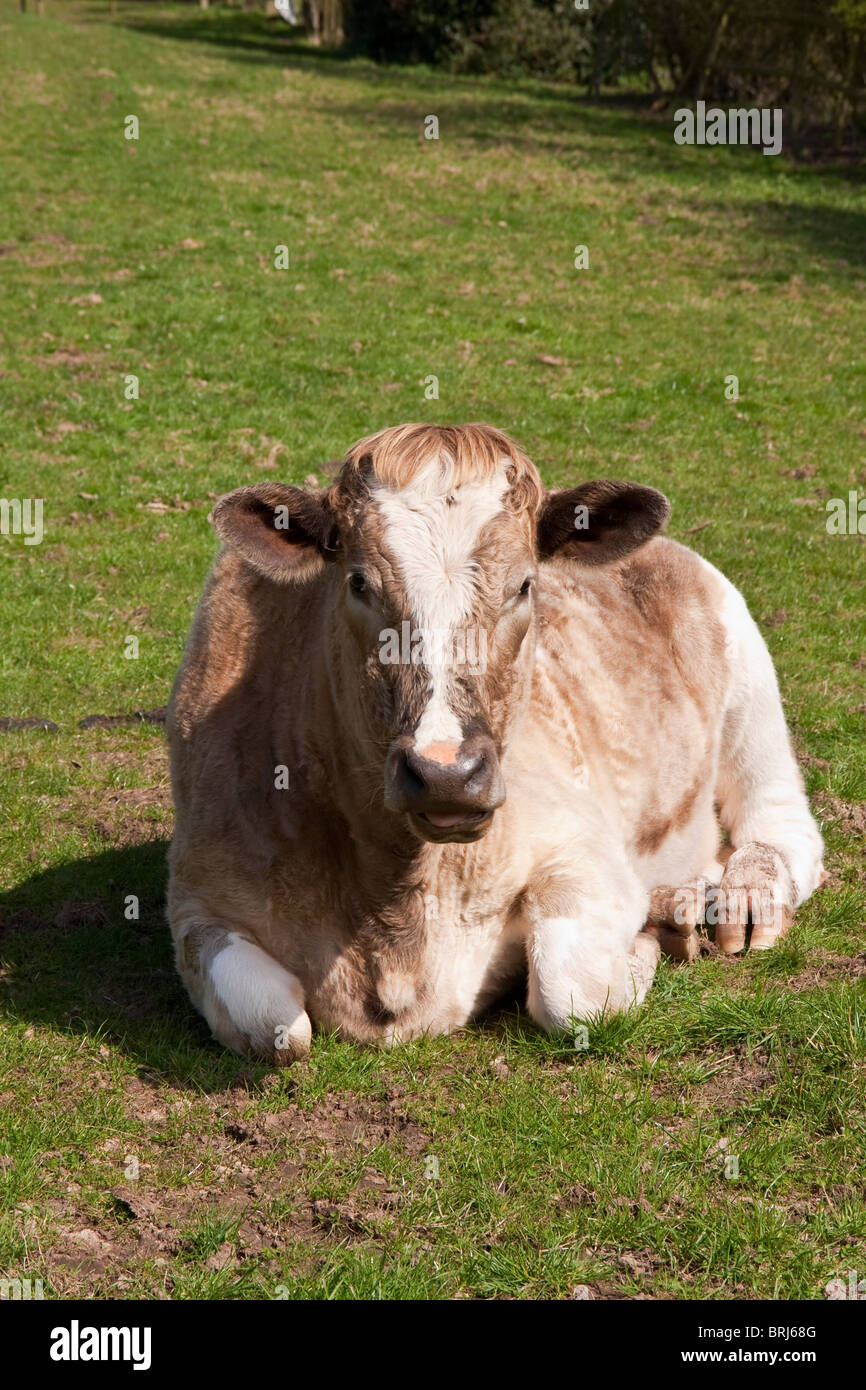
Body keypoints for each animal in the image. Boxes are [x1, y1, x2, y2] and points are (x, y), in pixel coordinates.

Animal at [166, 423, 824, 1062]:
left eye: (525, 584)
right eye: (358, 582)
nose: (446, 775)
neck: (396, 914)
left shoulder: (580, 842)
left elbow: (572, 993)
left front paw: (648, 941)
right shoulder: (197, 901)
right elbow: (273, 1024)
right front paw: (660, 924)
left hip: (748, 673)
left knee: (782, 823)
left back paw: (741, 895)